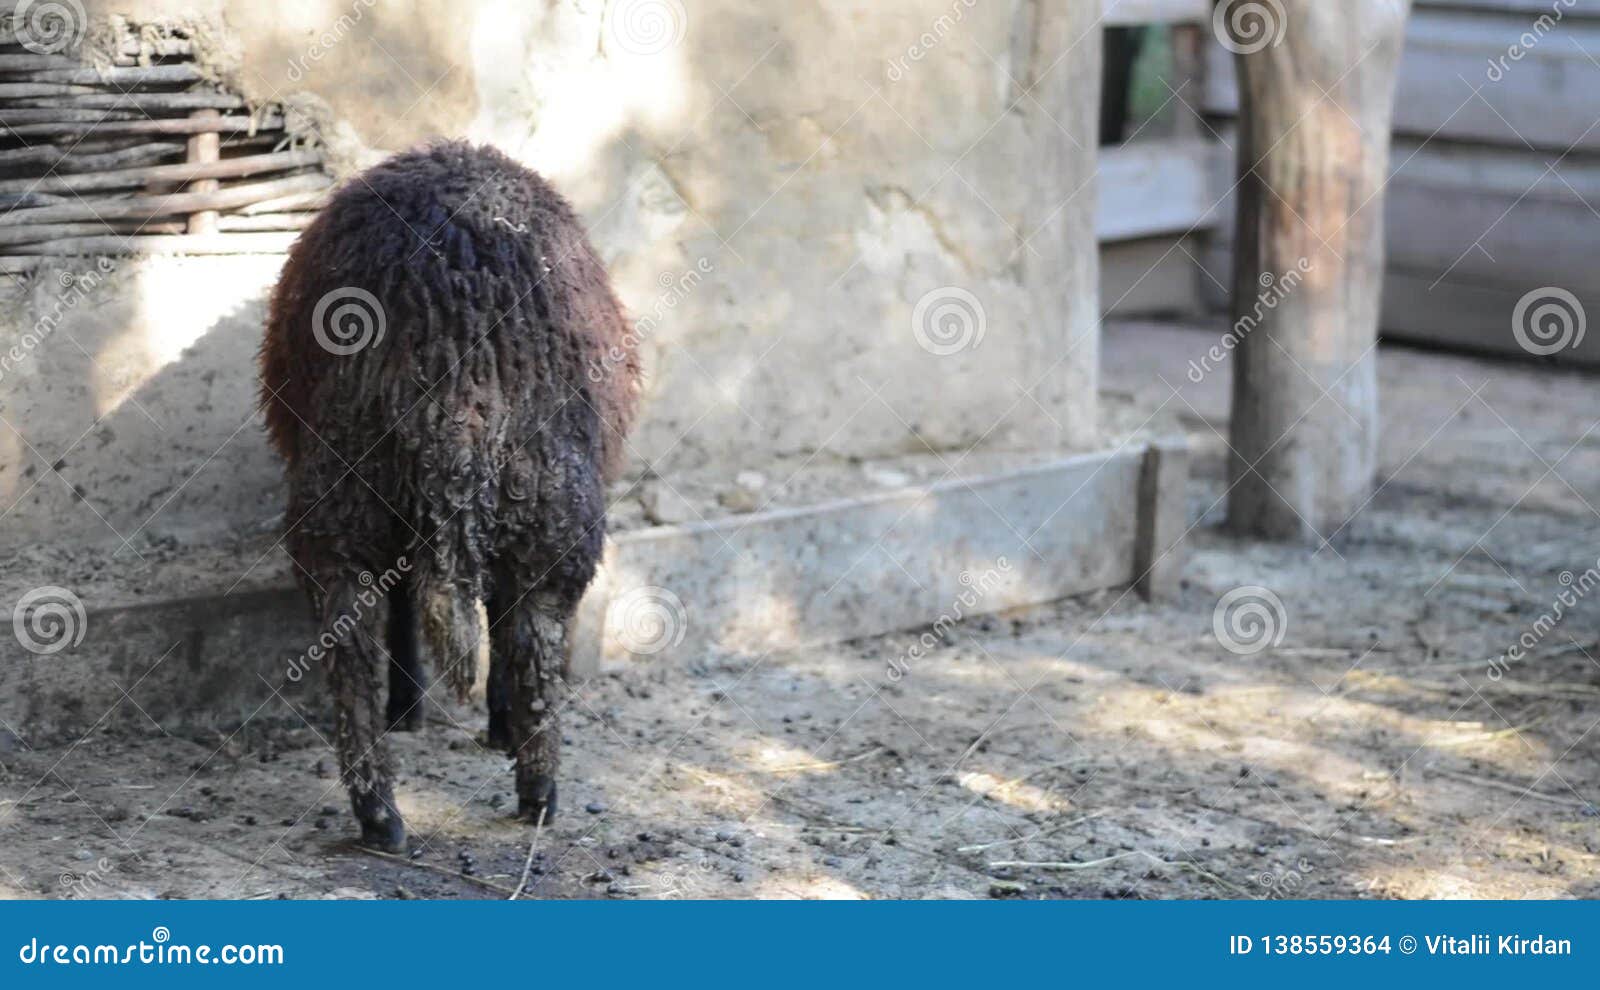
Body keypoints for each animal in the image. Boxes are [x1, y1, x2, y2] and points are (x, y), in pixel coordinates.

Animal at [260, 141, 639, 851]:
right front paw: (492, 723)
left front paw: (414, 707)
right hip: (554, 515)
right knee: (532, 636)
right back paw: (534, 788)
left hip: (347, 503)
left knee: (354, 644)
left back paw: (381, 811)